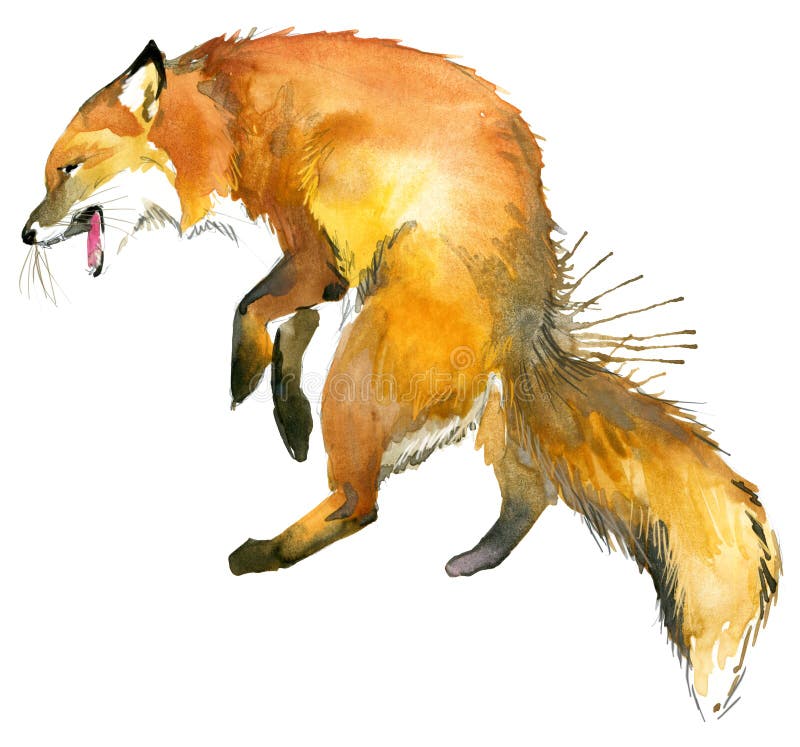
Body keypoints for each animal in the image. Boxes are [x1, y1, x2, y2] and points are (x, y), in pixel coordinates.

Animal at [21, 29, 780, 717]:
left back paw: (262, 554)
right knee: (527, 489)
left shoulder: (315, 247)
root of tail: (530, 313)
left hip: (361, 370)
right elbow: (290, 326)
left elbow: (252, 311)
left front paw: (247, 377)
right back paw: (475, 557)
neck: (224, 117)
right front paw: (285, 410)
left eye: (70, 169)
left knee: (361, 503)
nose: (26, 232)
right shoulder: (326, 266)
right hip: (476, 407)